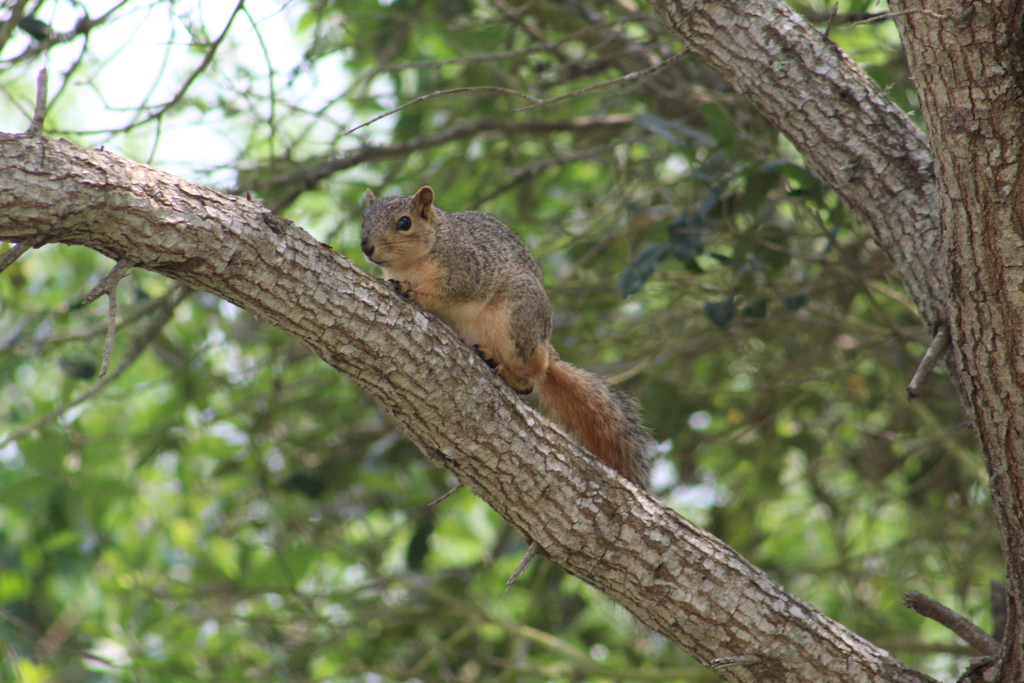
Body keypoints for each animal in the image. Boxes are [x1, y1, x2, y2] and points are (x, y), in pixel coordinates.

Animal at [360, 186, 651, 488]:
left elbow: (448, 289)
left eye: (404, 223)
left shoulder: (466, 268)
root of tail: (548, 351)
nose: (366, 247)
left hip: (515, 321)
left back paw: (500, 364)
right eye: (364, 220)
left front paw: (413, 291)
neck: (414, 260)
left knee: (530, 378)